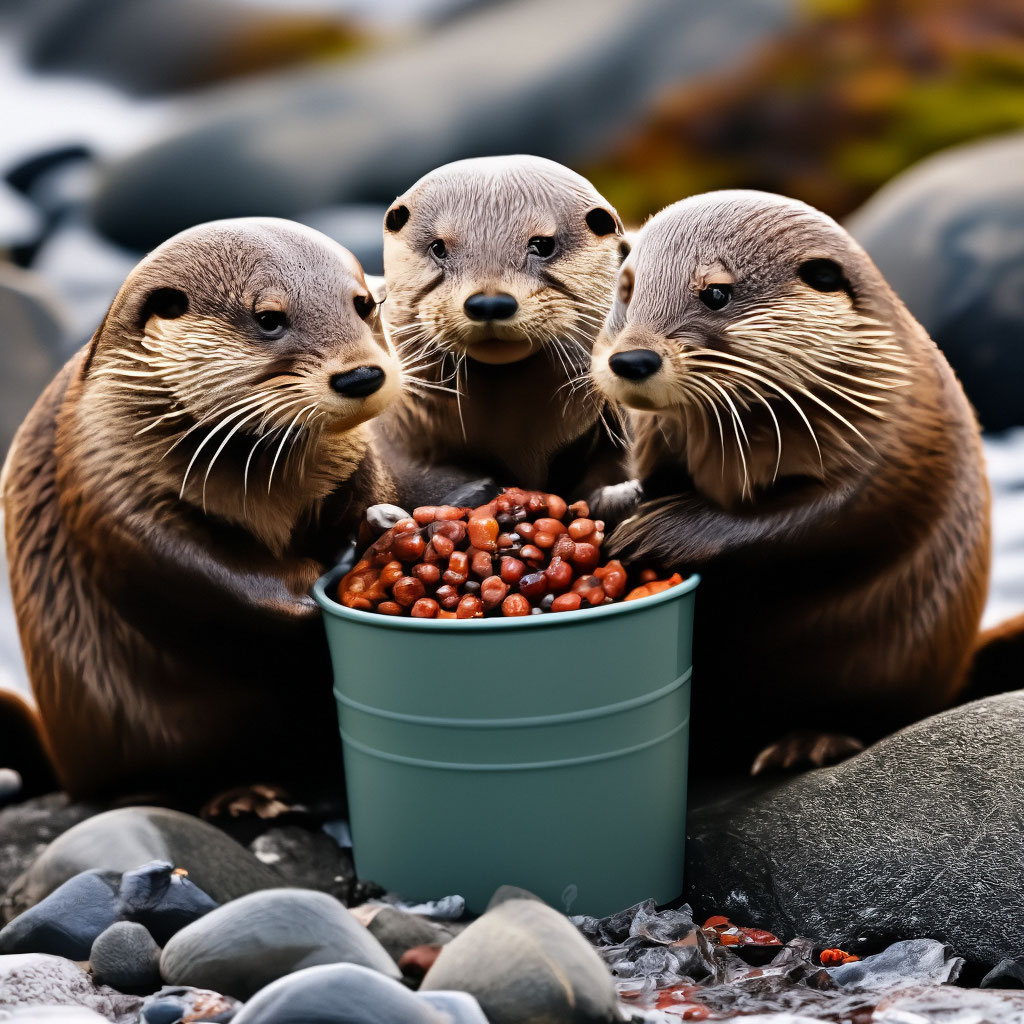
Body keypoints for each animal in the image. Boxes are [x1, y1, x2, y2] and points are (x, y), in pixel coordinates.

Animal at [2, 218, 401, 801]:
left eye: (364, 303)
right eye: (269, 318)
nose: (361, 376)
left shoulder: (359, 461)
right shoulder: (105, 478)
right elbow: (188, 571)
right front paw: (327, 579)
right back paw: (249, 798)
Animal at [591, 191, 991, 773]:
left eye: (716, 293)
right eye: (626, 288)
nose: (632, 357)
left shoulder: (894, 444)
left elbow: (825, 517)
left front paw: (657, 532)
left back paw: (806, 743)